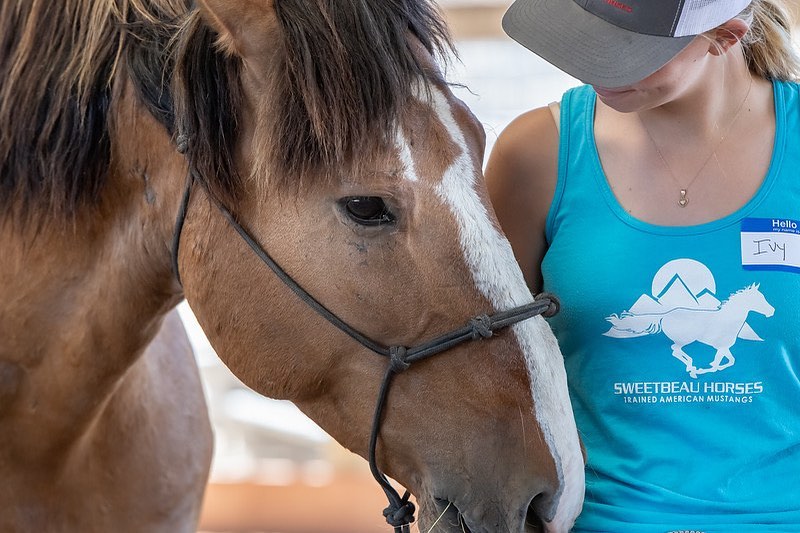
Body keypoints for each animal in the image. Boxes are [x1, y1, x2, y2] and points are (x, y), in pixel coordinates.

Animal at [605, 284, 774, 377]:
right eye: (759, 299)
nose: (772, 311)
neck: (729, 320)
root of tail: (666, 314)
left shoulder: (724, 347)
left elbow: (729, 361)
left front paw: (709, 366)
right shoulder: (721, 346)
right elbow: (717, 365)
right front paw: (702, 370)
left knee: (676, 351)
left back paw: (691, 367)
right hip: (685, 339)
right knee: (675, 350)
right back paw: (691, 367)